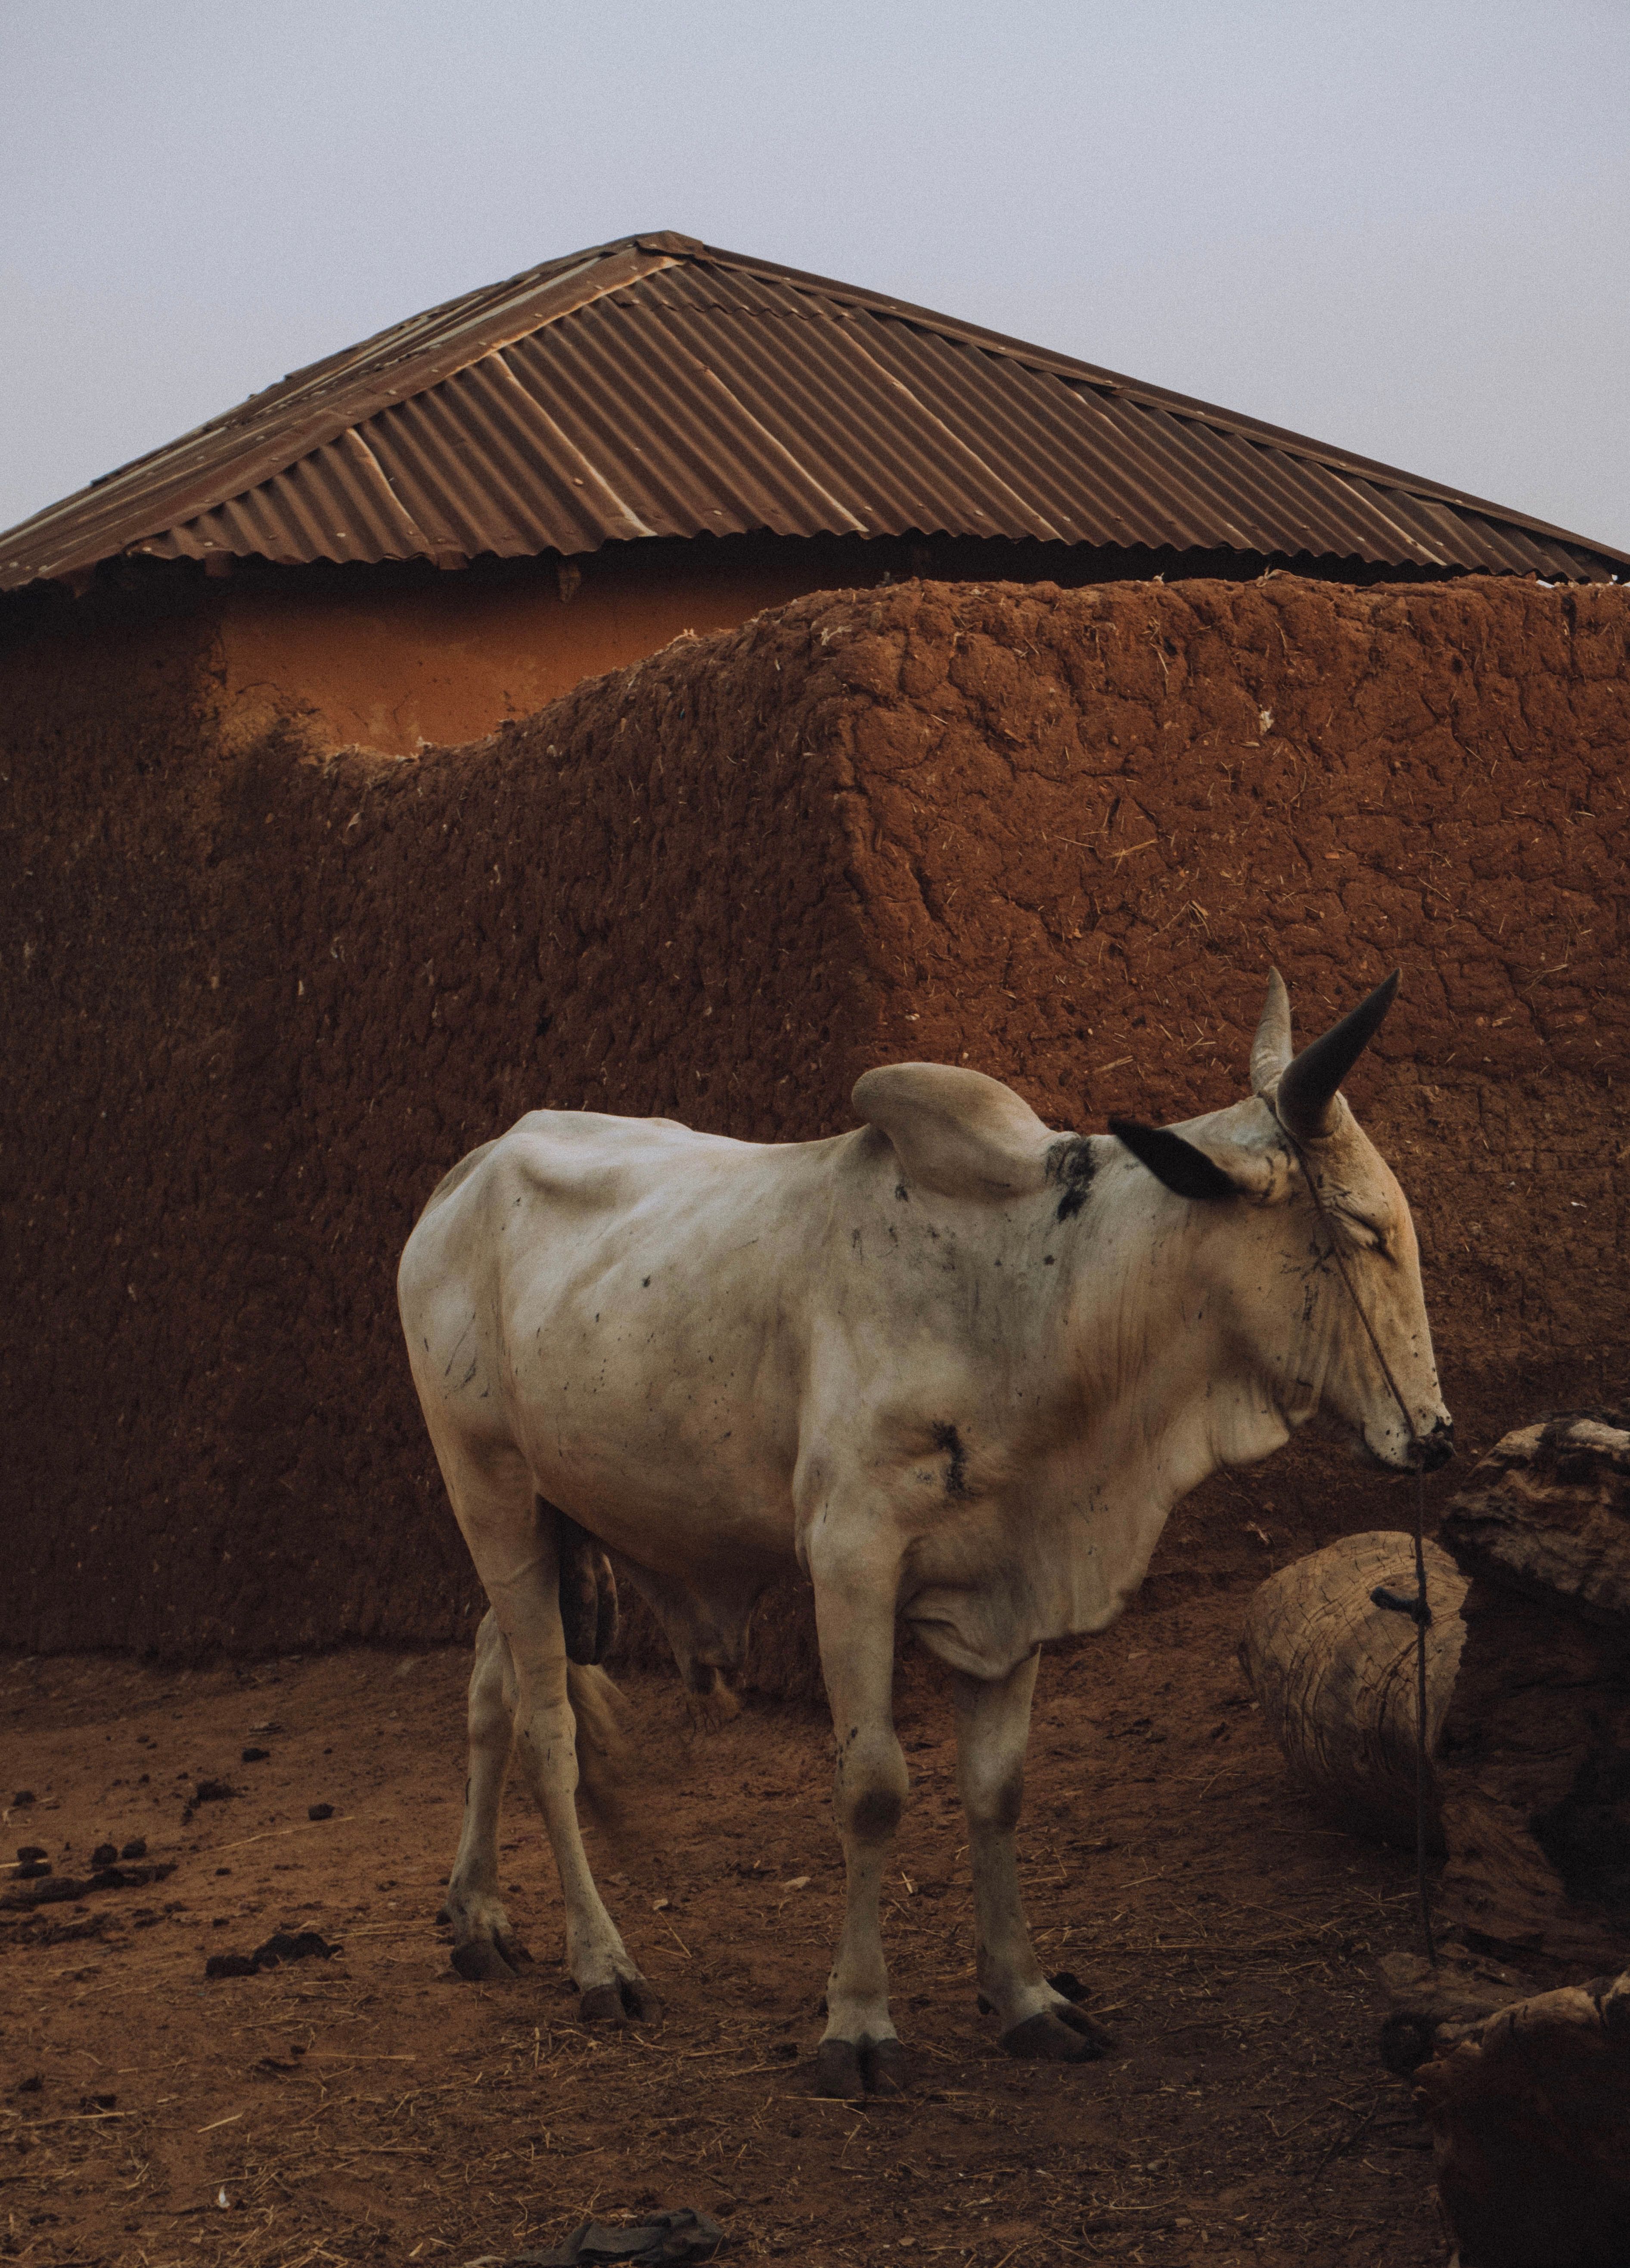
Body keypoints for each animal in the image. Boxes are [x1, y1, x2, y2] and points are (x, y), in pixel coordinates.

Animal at [398, 968, 1452, 2095]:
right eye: (1360, 1227)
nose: (1433, 1434)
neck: (1032, 1288)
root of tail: (463, 1176)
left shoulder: (1012, 1580)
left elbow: (996, 1791)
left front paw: (1028, 1999)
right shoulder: (851, 1562)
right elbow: (871, 1789)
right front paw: (857, 2024)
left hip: (547, 1515)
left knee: (491, 1687)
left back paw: (476, 1915)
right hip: (488, 1487)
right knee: (547, 1726)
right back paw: (601, 1961)